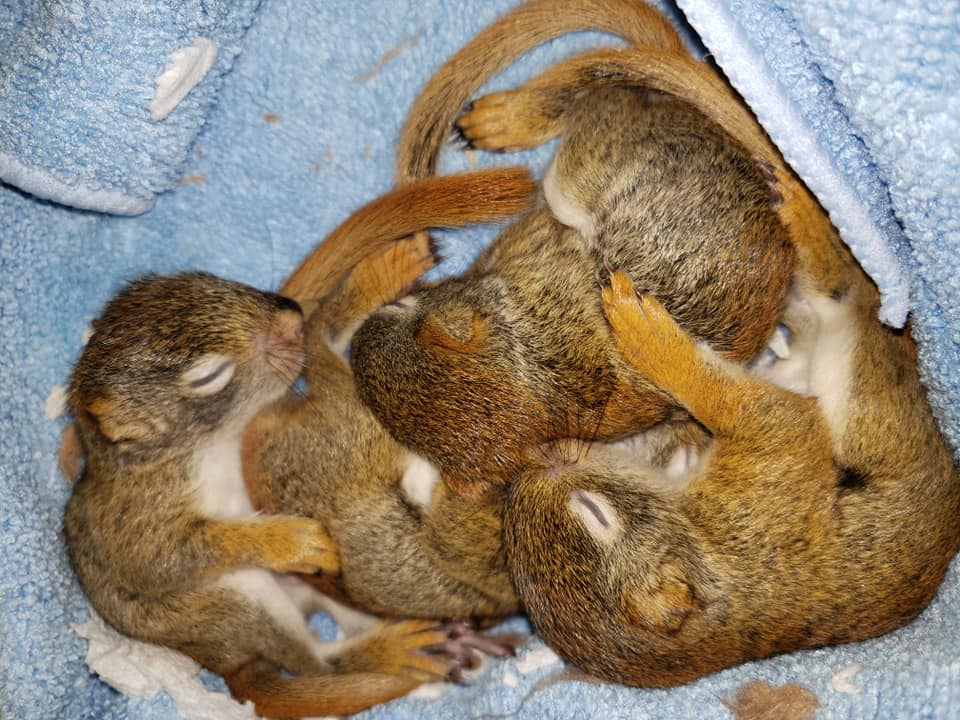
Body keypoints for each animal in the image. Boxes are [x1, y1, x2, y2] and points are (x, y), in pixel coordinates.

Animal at [62, 169, 535, 717]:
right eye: (208, 375)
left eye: (205, 278)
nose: (286, 312)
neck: (207, 443)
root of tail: (232, 667)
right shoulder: (134, 522)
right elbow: (172, 556)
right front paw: (293, 539)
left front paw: (379, 273)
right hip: (230, 605)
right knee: (313, 663)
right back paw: (390, 649)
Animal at [343, 0, 797, 498]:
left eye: (403, 308)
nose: (356, 340)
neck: (531, 378)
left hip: (583, 168)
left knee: (596, 94)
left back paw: (508, 120)